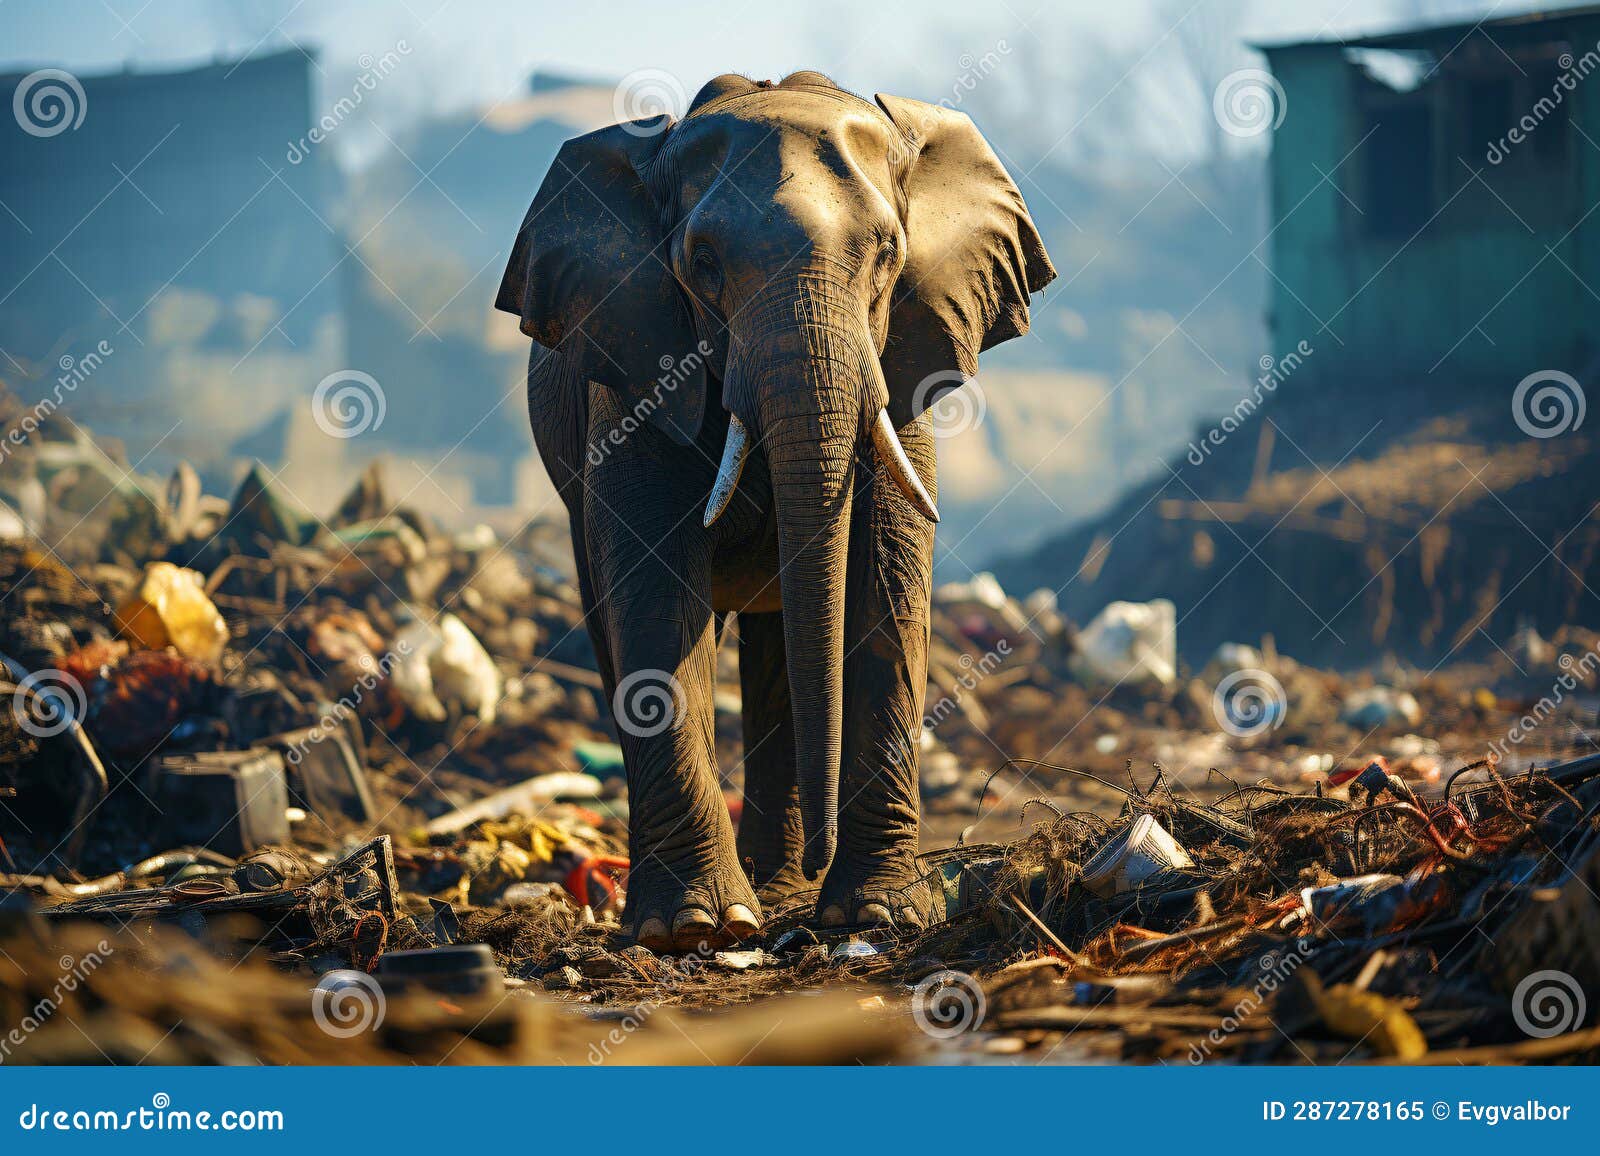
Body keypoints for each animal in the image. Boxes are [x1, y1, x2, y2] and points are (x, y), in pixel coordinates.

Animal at [496, 71, 1054, 952]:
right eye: (702, 263)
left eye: (888, 253)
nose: (827, 859)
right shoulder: (631, 381)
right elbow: (656, 601)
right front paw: (694, 928)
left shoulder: (904, 365)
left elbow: (885, 586)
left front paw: (876, 913)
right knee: (616, 626)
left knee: (782, 640)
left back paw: (782, 885)